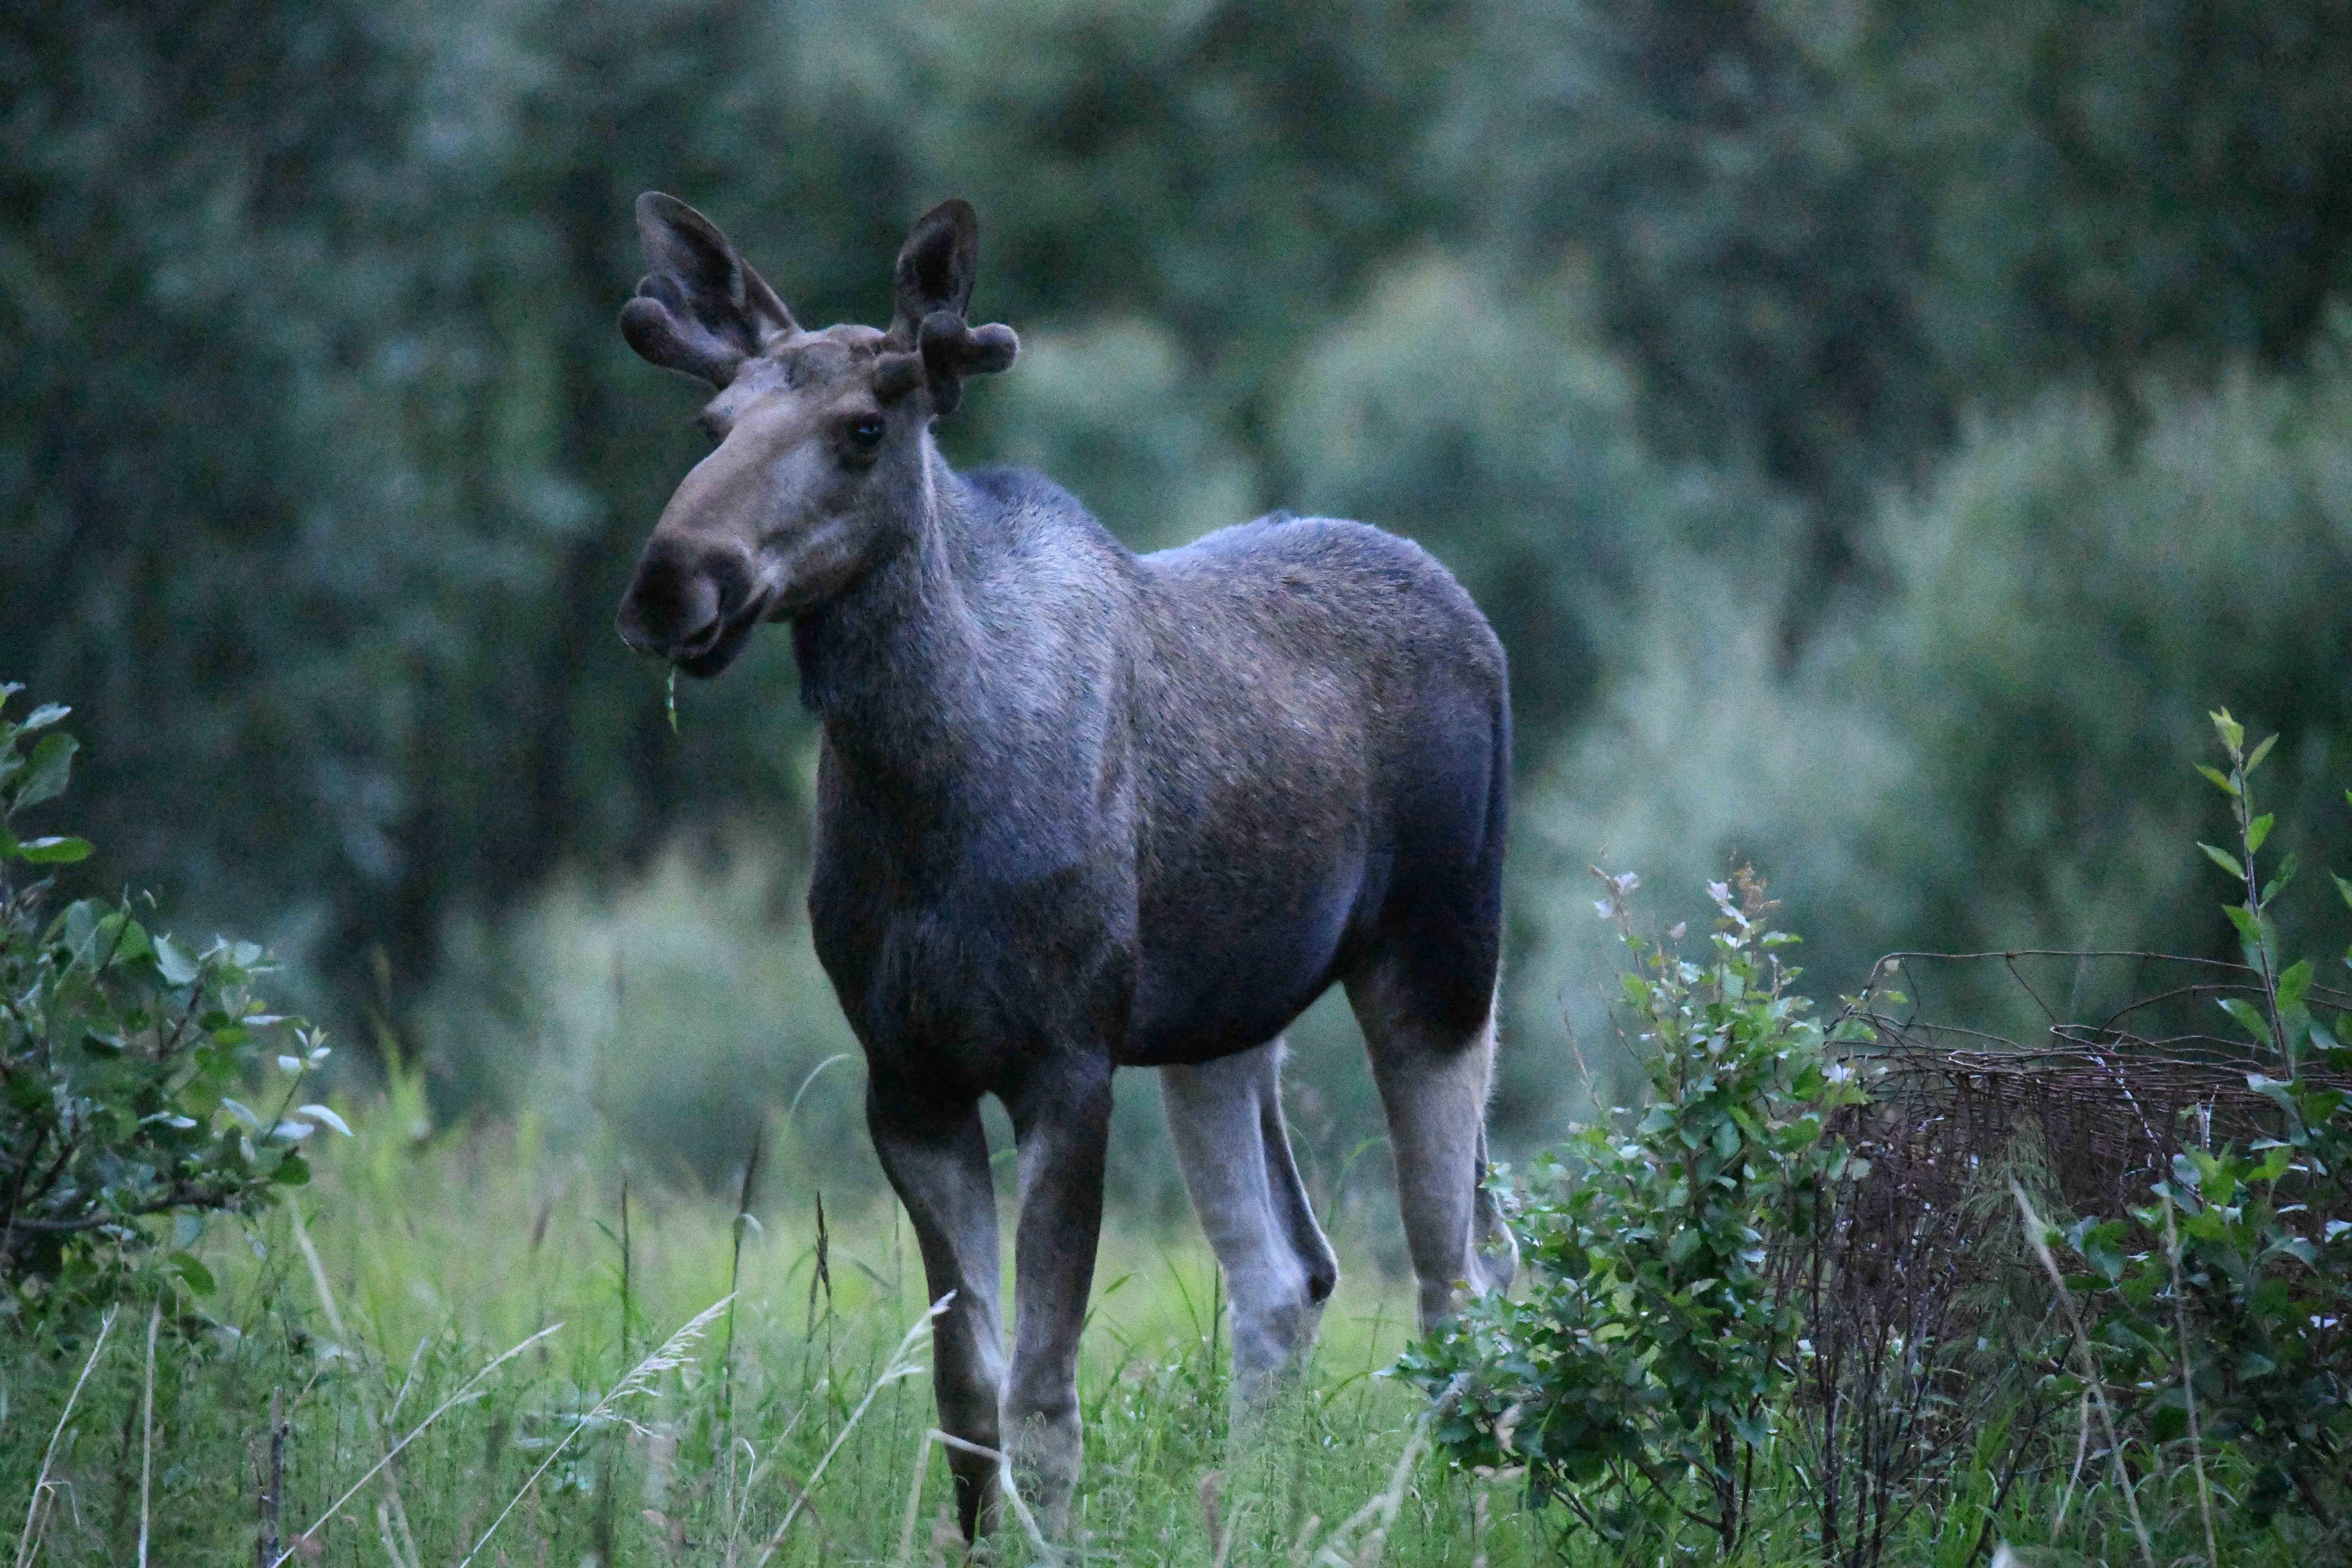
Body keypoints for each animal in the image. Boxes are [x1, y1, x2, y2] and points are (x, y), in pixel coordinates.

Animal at [612, 192, 1517, 1541]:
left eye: (865, 428)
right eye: (711, 424)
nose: (673, 581)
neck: (921, 792)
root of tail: (1475, 615)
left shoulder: (1066, 1059)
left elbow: (1042, 1394)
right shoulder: (908, 1078)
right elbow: (966, 1395)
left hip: (1442, 967)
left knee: (1458, 1277)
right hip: (1221, 1029)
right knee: (1291, 1275)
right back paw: (1251, 1510)